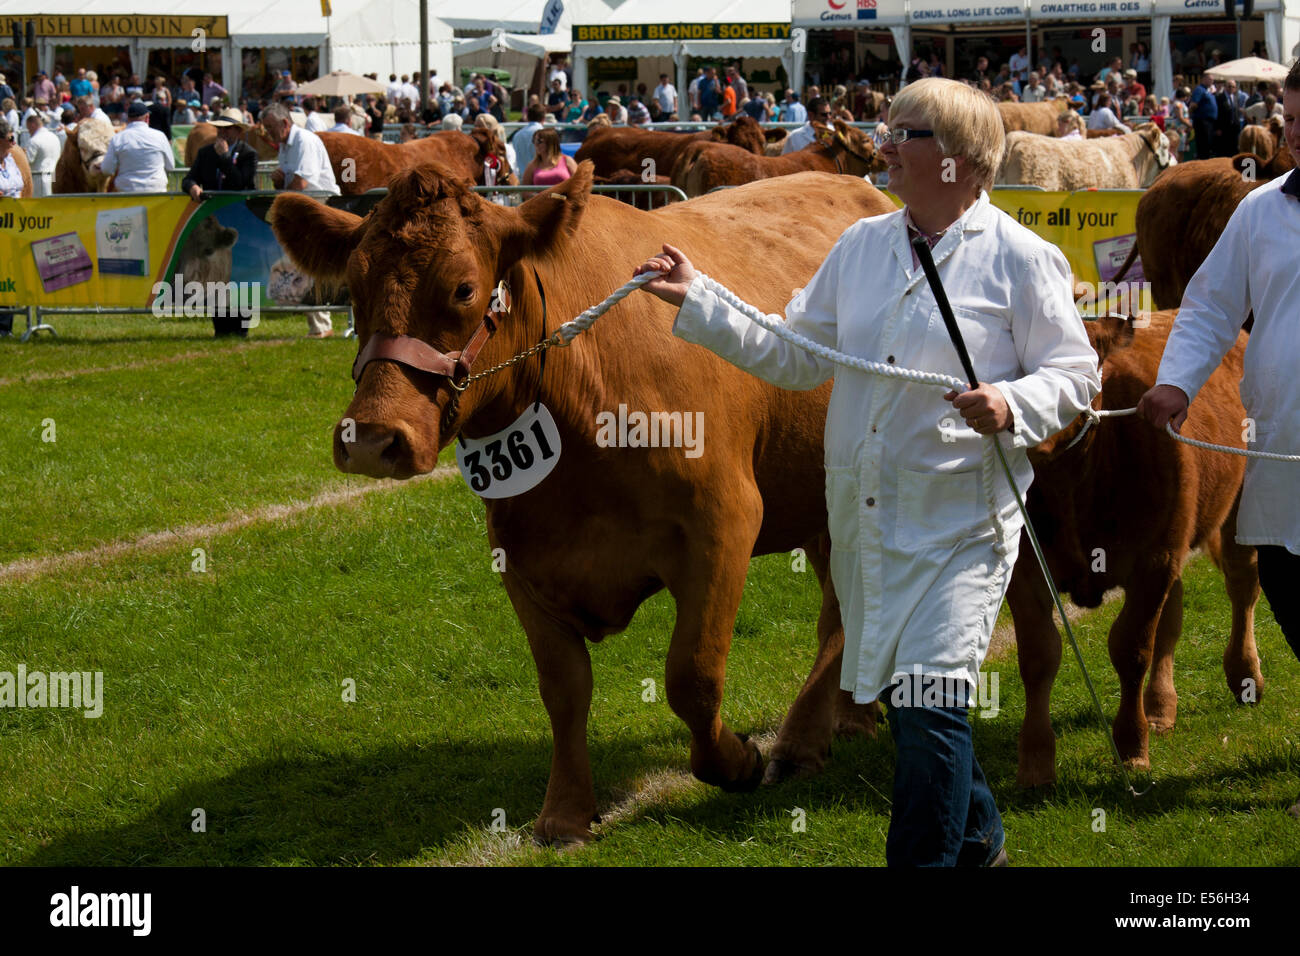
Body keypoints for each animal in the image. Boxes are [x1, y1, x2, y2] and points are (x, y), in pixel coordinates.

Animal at [267, 162, 895, 844]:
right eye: (354, 287)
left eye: (463, 289)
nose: (371, 440)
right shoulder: (519, 554)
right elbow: (563, 688)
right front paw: (565, 813)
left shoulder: (724, 523)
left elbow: (692, 676)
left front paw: (736, 762)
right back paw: (851, 720)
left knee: (841, 615)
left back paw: (800, 742)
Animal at [1007, 310, 1260, 785]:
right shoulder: (1025, 570)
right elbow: (1038, 656)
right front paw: (1034, 763)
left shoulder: (1152, 562)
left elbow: (1131, 649)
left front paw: (1131, 747)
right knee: (1174, 618)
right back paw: (1161, 708)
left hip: (1238, 508)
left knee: (1242, 588)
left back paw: (1244, 675)